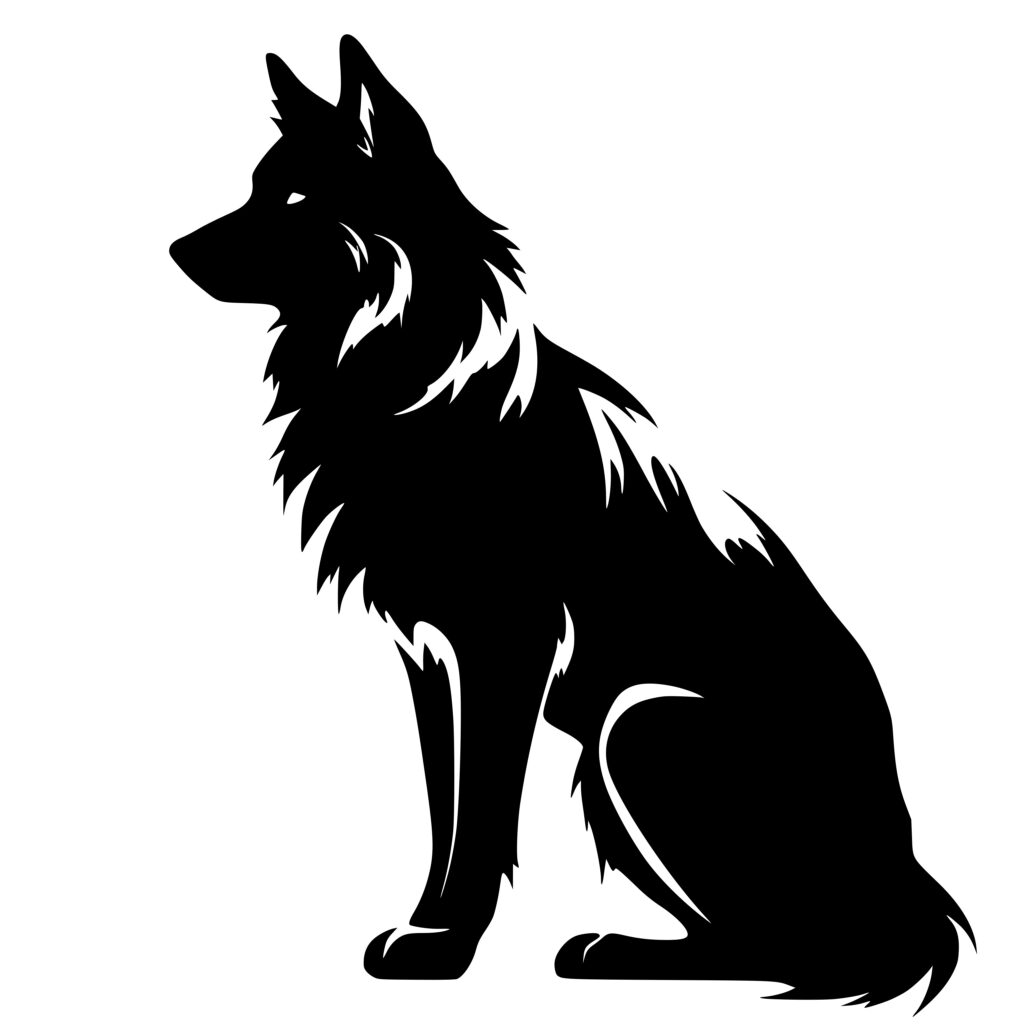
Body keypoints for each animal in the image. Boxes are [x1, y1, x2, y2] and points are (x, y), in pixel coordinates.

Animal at [170, 35, 974, 1009]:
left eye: (291, 200)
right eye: (254, 188)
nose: (173, 249)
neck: (400, 374)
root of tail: (913, 894)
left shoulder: (500, 644)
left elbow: (479, 817)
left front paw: (444, 941)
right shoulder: (432, 655)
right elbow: (446, 805)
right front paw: (430, 922)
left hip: (640, 724)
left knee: (791, 948)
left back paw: (624, 952)